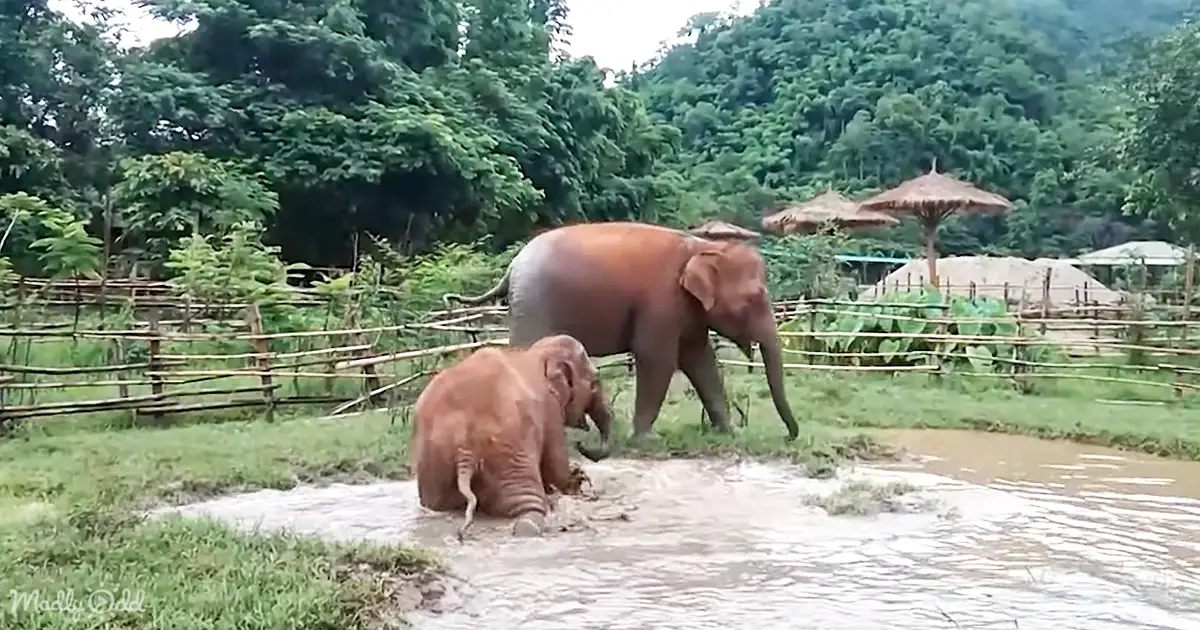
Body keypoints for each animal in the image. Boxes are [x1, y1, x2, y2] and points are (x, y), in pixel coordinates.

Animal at [409, 334, 614, 540]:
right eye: (595, 382)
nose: (581, 445)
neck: (537, 353)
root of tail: (465, 450)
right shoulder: (550, 409)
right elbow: (555, 464)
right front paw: (575, 481)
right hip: (509, 452)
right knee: (531, 509)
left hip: (433, 461)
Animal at [443, 221, 799, 441]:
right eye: (754, 298)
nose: (789, 435)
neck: (701, 247)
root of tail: (511, 268)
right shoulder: (660, 302)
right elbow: (657, 359)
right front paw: (645, 439)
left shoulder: (687, 310)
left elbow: (700, 360)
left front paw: (729, 433)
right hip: (534, 305)